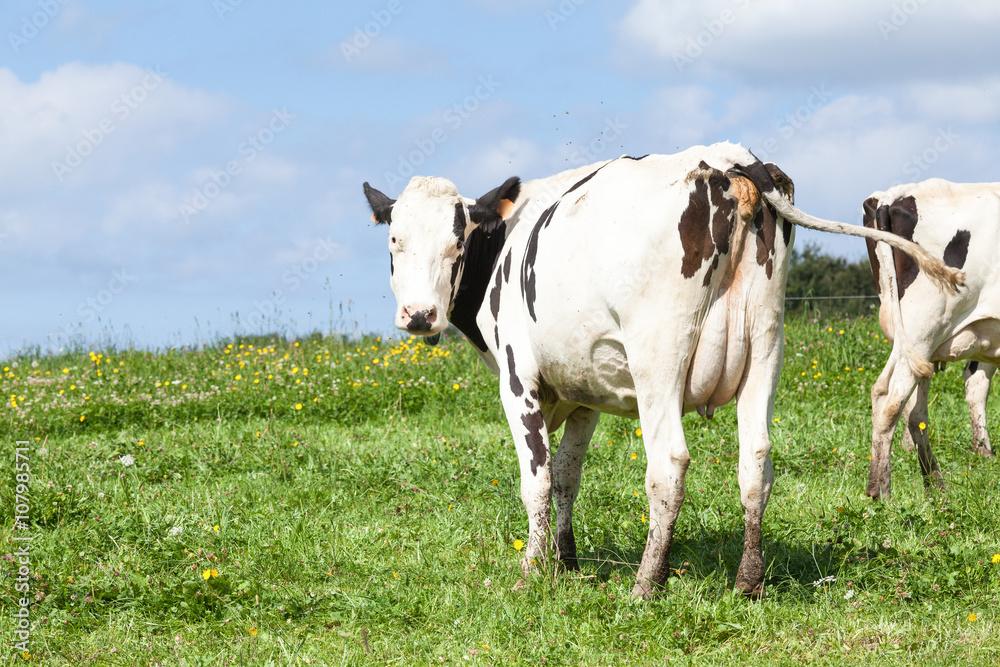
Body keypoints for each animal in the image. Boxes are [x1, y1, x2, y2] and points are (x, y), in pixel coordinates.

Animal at [364, 142, 963, 599]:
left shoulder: (520, 382)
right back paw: (748, 580)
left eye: (456, 240)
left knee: (669, 465)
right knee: (757, 459)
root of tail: (729, 162)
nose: (419, 315)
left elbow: (537, 480)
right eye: (394, 240)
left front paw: (534, 572)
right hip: (767, 345)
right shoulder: (582, 393)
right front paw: (567, 561)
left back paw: (646, 584)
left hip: (660, 357)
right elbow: (568, 476)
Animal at [863, 179, 999, 500]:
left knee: (903, 404)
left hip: (913, 342)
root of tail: (894, 195)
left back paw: (934, 482)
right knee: (893, 401)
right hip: (923, 329)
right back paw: (881, 490)